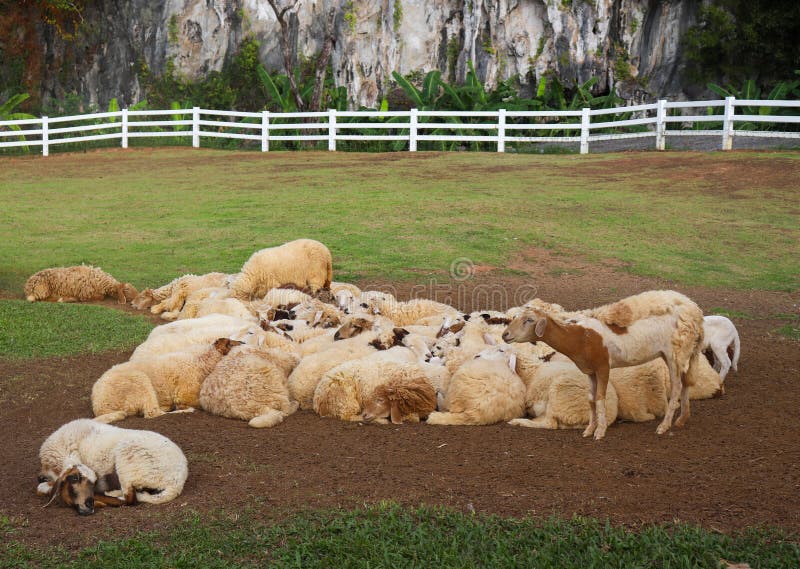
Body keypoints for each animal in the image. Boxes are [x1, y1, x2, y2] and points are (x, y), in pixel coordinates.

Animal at [37, 419, 188, 515]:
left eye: (93, 482)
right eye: (74, 478)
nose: (89, 505)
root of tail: (178, 482)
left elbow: (41, 487)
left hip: (127, 461)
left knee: (129, 498)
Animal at [91, 337, 242, 423]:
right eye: (231, 344)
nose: (243, 342)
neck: (201, 361)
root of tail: (100, 407)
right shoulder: (186, 394)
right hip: (140, 381)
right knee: (152, 413)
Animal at [503, 290, 704, 440]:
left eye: (529, 320)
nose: (505, 335)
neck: (579, 338)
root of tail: (694, 311)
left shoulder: (603, 367)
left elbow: (600, 398)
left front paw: (600, 432)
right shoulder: (590, 370)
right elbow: (591, 398)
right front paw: (589, 430)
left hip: (675, 353)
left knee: (676, 388)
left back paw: (664, 426)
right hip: (683, 353)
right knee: (686, 383)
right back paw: (682, 419)